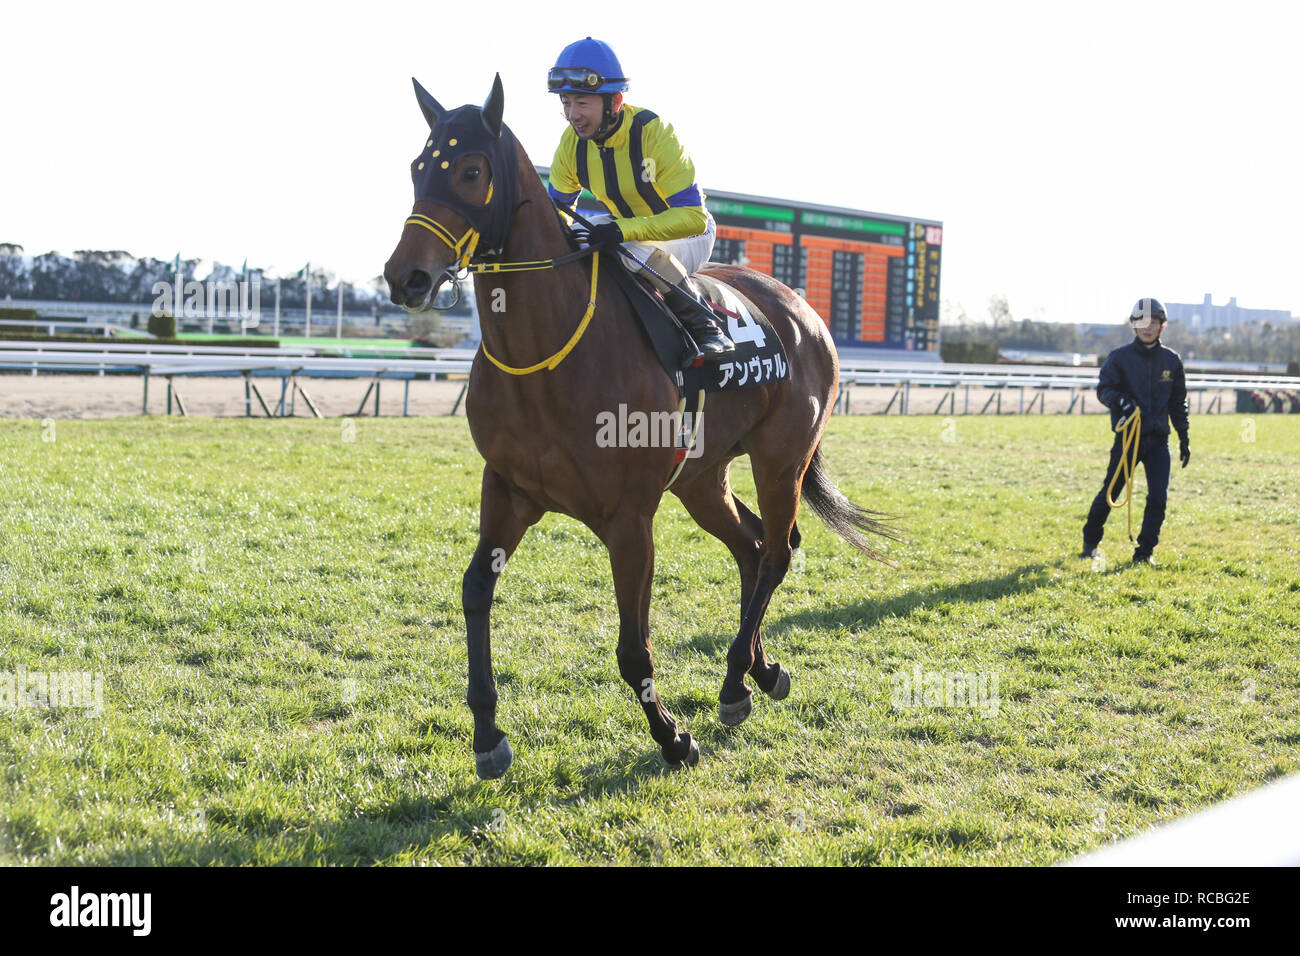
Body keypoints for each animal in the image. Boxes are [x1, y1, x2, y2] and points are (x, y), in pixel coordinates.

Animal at [384, 75, 895, 779]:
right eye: (416, 168)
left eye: (470, 170)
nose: (404, 276)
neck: (547, 356)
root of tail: (801, 309)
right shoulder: (508, 491)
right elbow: (474, 592)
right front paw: (488, 733)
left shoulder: (629, 517)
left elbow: (633, 646)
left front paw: (672, 738)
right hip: (701, 478)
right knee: (753, 545)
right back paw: (759, 672)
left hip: (780, 458)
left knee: (776, 550)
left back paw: (735, 682)